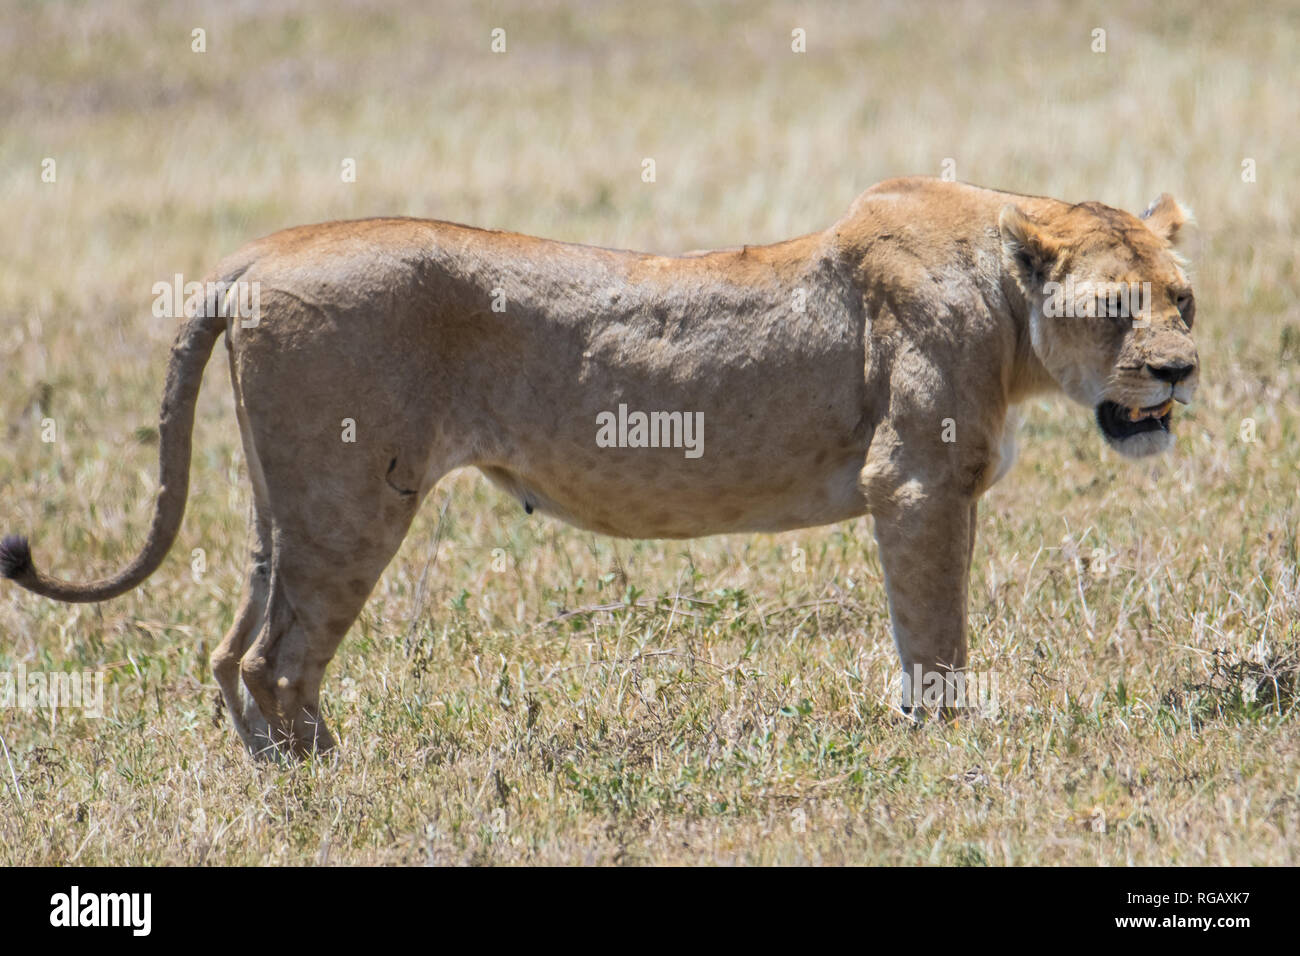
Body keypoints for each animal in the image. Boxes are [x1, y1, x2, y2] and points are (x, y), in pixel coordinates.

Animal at [0, 177, 1198, 757]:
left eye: (1182, 299)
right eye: (1110, 308)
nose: (1179, 371)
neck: (1010, 318)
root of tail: (257, 256)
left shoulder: (922, 490)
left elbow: (921, 632)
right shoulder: (912, 483)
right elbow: (937, 632)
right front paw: (948, 745)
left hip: (283, 503)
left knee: (231, 644)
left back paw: (276, 770)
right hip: (352, 500)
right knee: (277, 657)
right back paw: (326, 776)